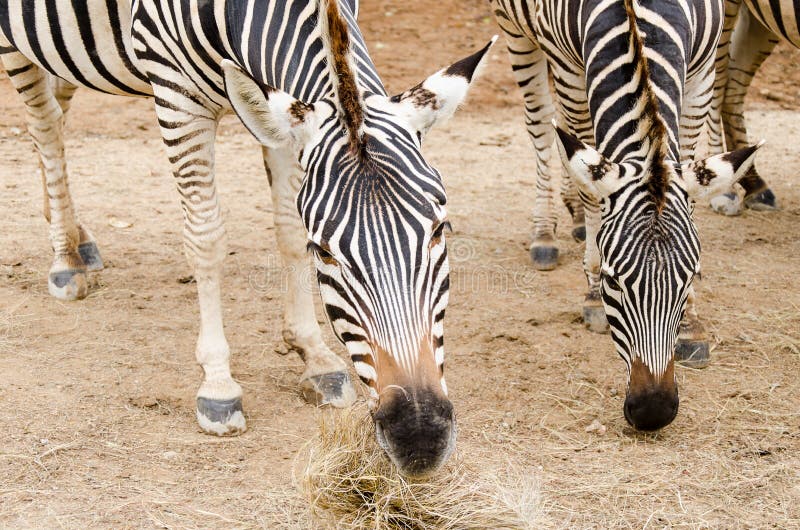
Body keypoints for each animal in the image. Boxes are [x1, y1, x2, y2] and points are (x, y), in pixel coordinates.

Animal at [0, 0, 494, 476]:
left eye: (440, 231)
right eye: (325, 253)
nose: (420, 439)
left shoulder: (282, 116)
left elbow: (288, 226)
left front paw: (314, 355)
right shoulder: (177, 95)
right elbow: (206, 237)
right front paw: (218, 383)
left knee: (58, 106)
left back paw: (75, 235)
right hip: (14, 43)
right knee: (43, 120)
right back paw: (65, 257)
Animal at [491, 0, 762, 430]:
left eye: (690, 278)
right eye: (612, 282)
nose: (654, 411)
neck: (642, 16)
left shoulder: (702, 71)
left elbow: (686, 162)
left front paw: (691, 323)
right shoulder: (569, 67)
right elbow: (590, 180)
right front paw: (589, 293)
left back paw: (574, 221)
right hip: (517, 31)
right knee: (541, 126)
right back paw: (545, 233)